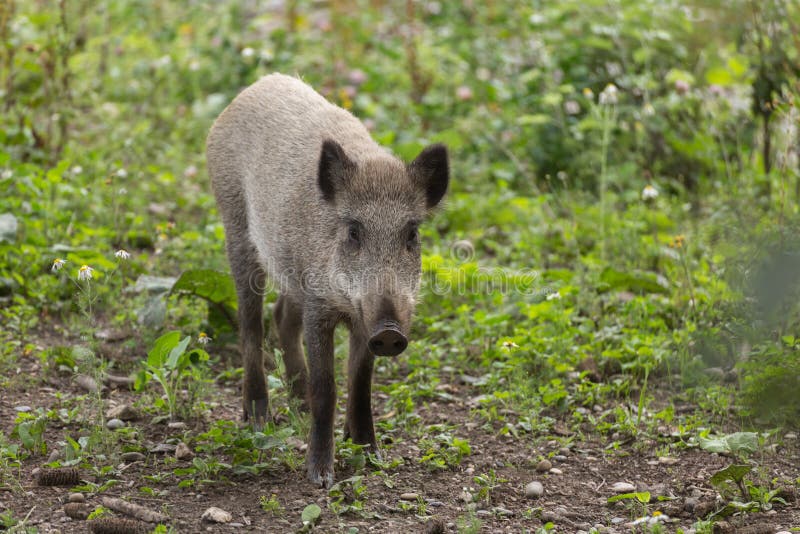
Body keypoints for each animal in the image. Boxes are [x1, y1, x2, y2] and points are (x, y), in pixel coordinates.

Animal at [206, 73, 449, 487]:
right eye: (353, 231)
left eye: (412, 234)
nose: (391, 331)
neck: (348, 305)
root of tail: (256, 86)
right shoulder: (320, 308)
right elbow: (327, 387)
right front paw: (320, 478)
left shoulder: (361, 320)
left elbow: (360, 384)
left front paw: (371, 457)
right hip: (236, 230)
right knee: (251, 325)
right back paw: (258, 420)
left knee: (281, 316)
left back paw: (297, 405)